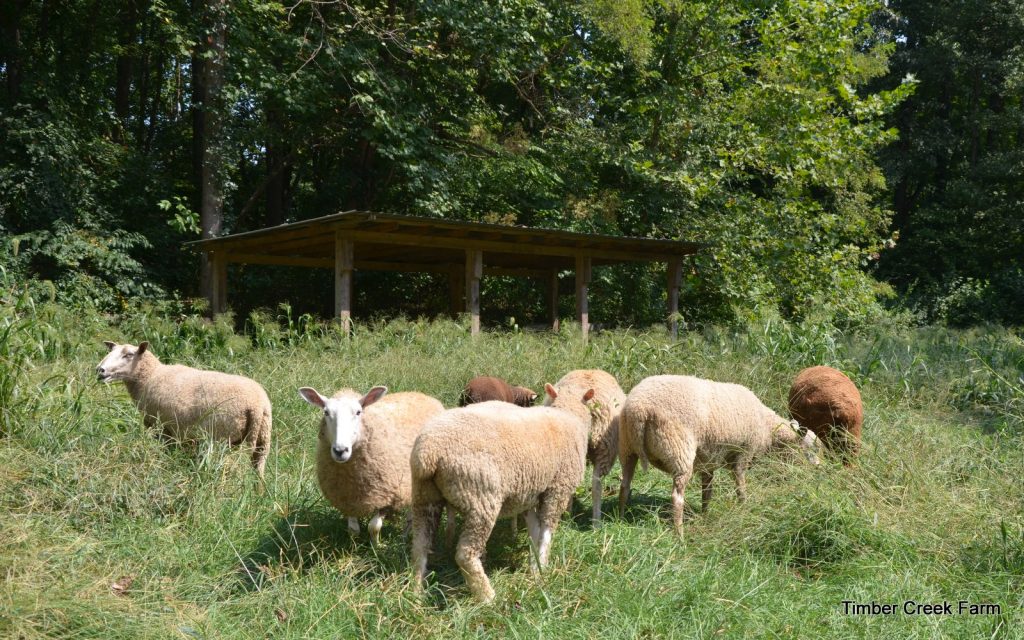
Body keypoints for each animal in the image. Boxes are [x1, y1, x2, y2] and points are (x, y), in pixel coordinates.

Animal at [96, 341, 272, 477]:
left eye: (128, 355)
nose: (100, 370)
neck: (150, 376)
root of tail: (257, 404)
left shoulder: (162, 427)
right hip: (263, 440)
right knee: (258, 471)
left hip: (220, 438)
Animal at [298, 385, 445, 544]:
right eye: (326, 412)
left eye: (358, 412)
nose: (340, 450)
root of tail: (423, 395)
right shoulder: (347, 497)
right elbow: (353, 530)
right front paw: (354, 546)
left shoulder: (386, 495)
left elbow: (373, 527)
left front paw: (376, 546)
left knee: (412, 517)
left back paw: (403, 538)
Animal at [410, 383, 594, 603]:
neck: (568, 416)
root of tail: (428, 451)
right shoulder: (558, 488)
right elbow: (547, 530)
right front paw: (542, 568)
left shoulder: (529, 494)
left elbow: (535, 528)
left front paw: (534, 564)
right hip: (480, 496)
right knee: (465, 554)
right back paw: (488, 597)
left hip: (424, 496)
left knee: (419, 547)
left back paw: (416, 593)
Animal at [617, 375, 822, 539]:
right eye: (810, 451)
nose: (819, 470)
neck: (767, 427)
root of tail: (640, 410)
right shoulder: (743, 454)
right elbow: (740, 487)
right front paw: (744, 508)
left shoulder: (708, 462)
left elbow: (707, 492)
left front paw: (705, 514)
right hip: (680, 450)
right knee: (677, 497)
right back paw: (679, 534)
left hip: (627, 448)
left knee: (624, 485)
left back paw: (620, 518)